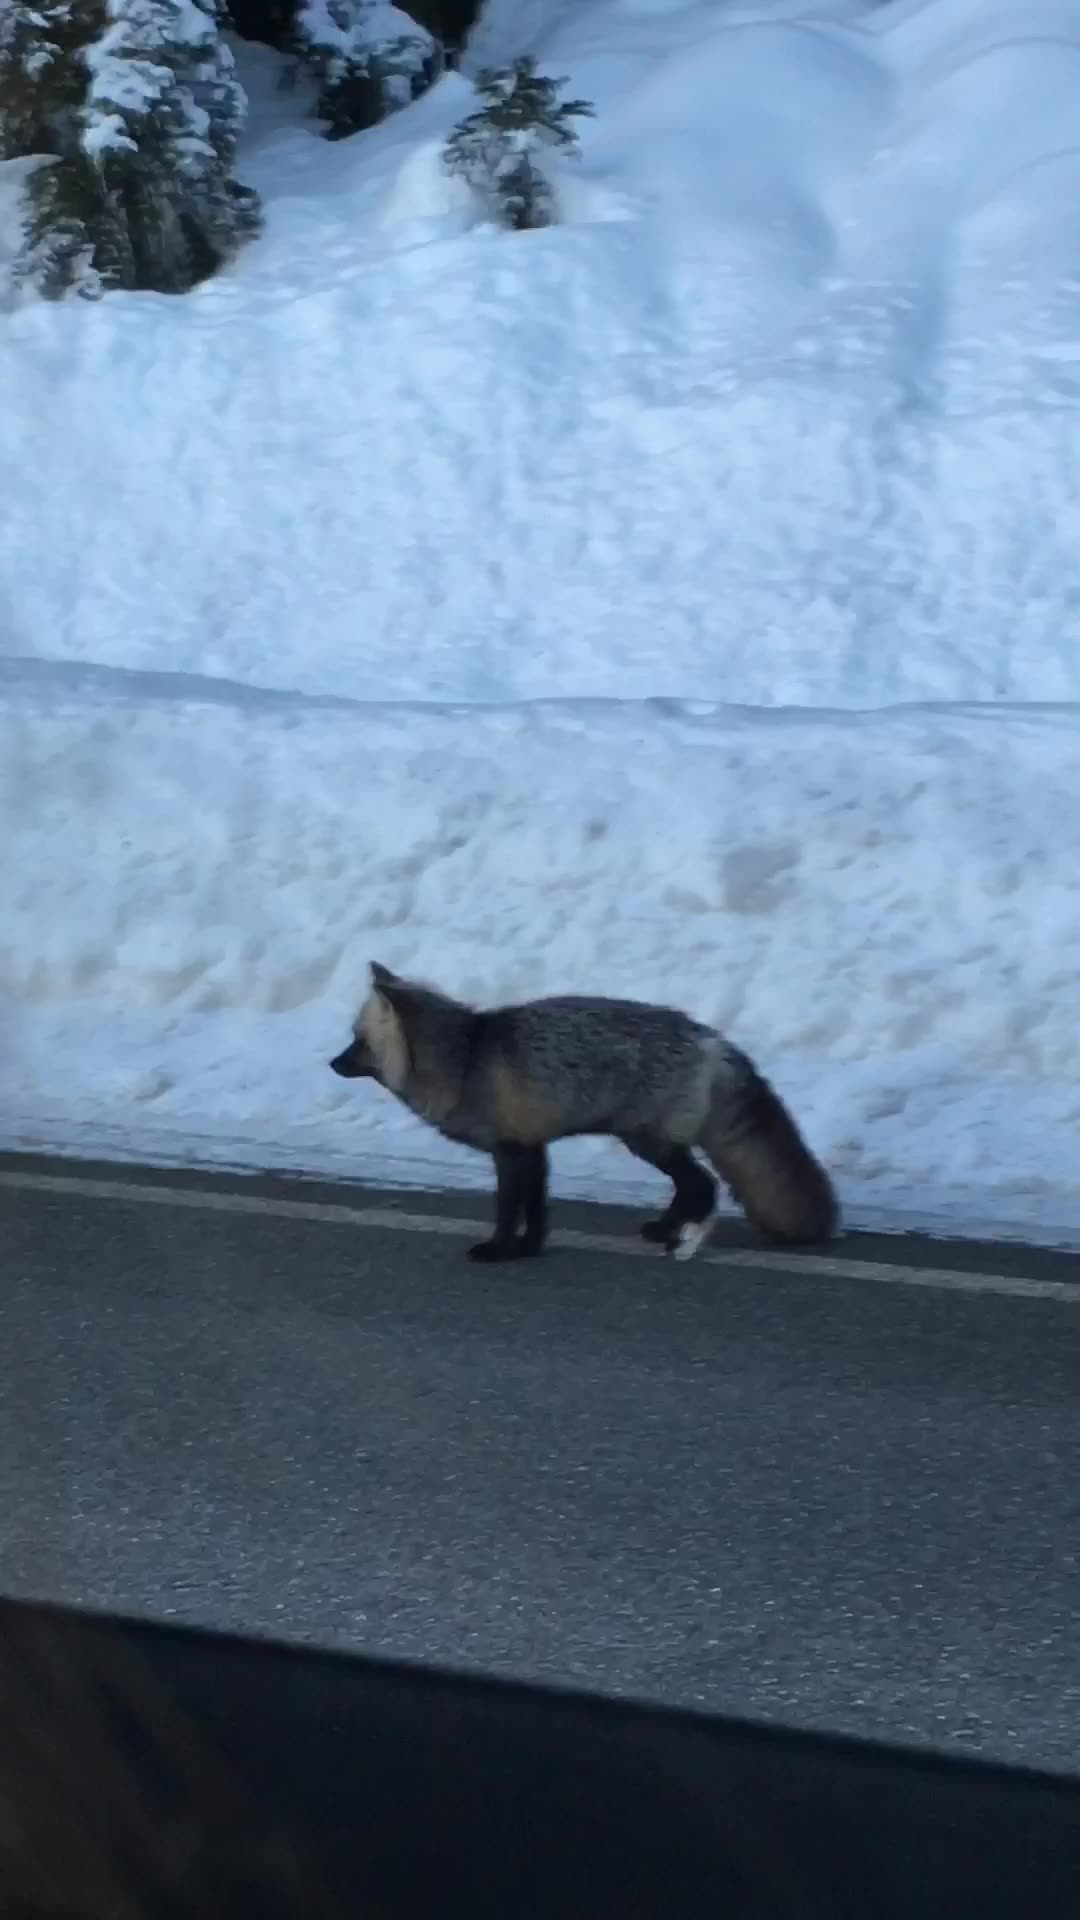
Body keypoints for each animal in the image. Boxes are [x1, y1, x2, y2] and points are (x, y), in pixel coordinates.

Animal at [329, 962, 839, 1264]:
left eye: (358, 1042)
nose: (331, 1063)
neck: (466, 1060)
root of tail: (711, 1038)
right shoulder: (532, 1146)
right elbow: (536, 1211)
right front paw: (528, 1249)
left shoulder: (511, 1150)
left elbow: (508, 1209)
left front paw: (498, 1250)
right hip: (650, 1142)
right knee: (693, 1187)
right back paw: (666, 1229)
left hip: (649, 1142)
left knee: (703, 1186)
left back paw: (680, 1237)